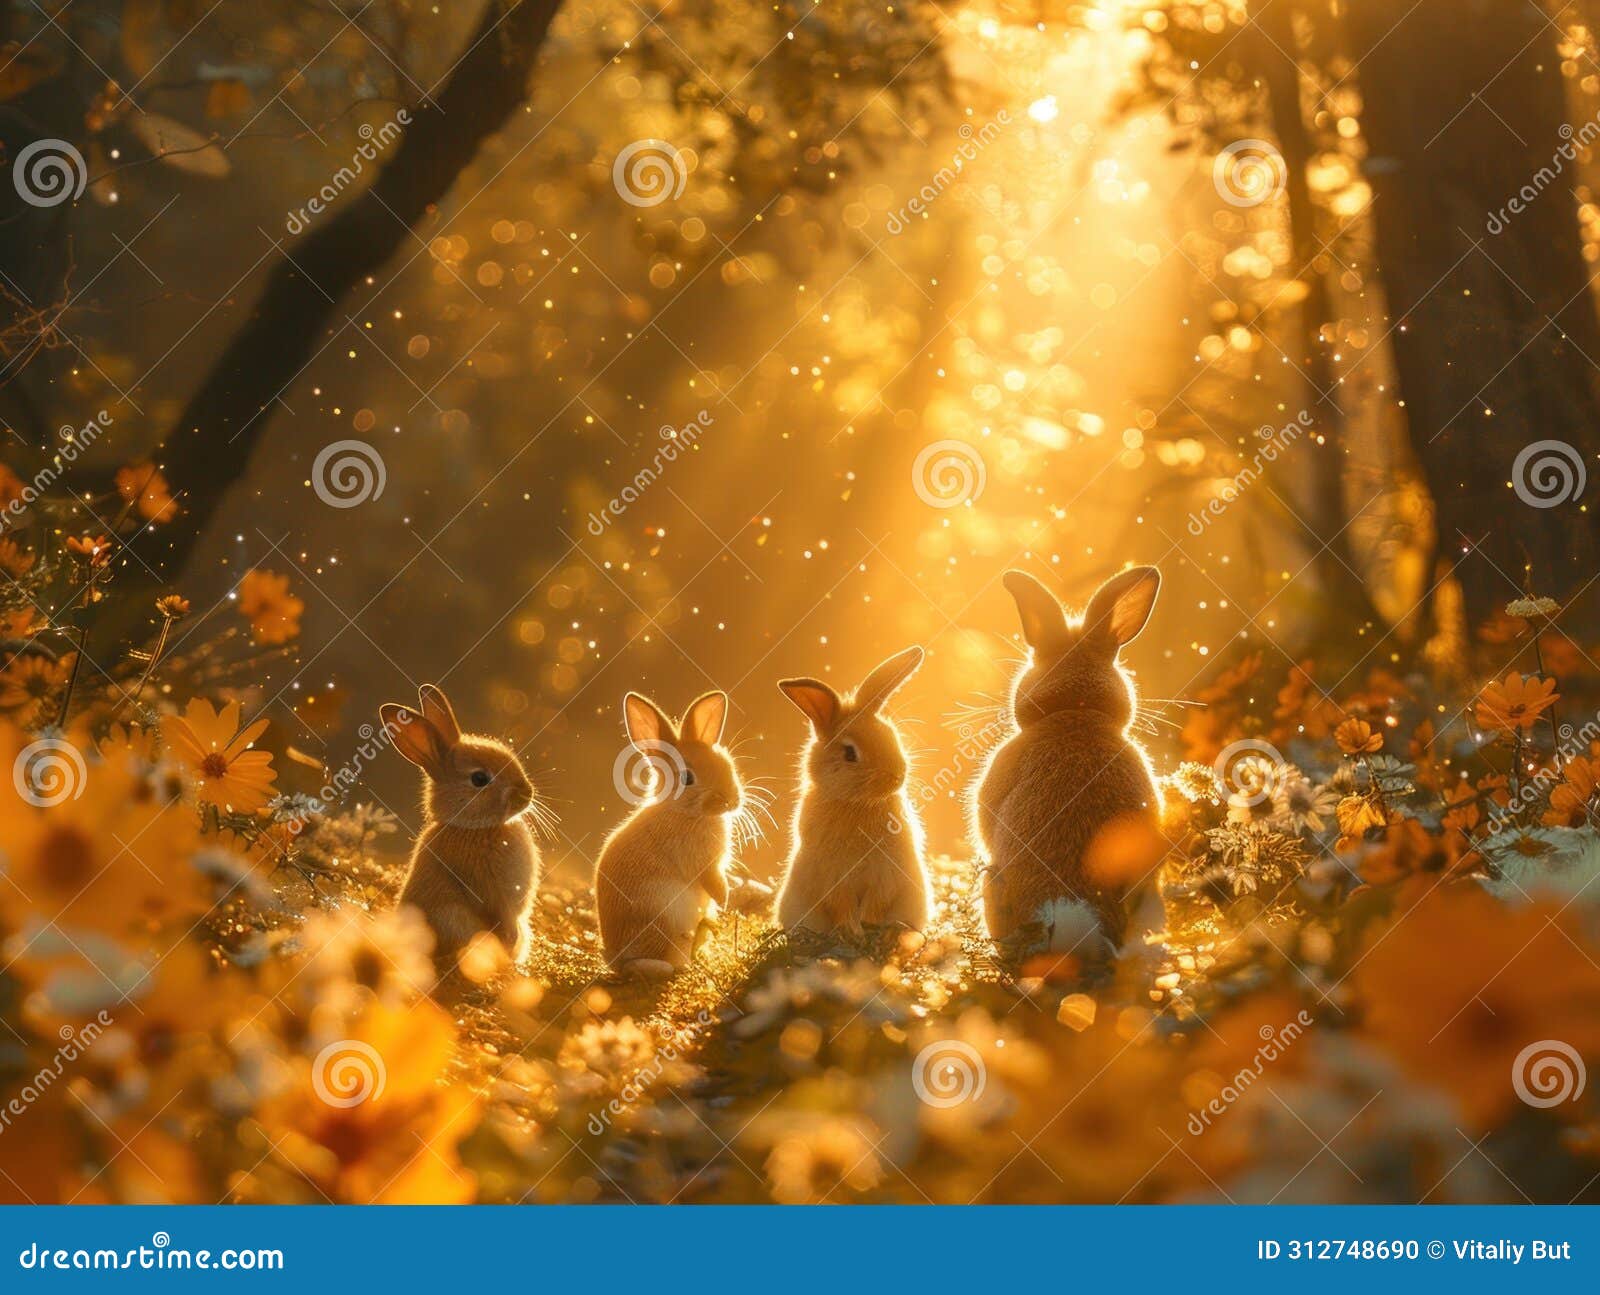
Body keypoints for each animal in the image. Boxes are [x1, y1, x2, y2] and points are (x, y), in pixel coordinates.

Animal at [381, 684, 541, 969]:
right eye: (479, 779)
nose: (527, 793)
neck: (473, 828)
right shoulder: (485, 883)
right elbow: (500, 910)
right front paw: (509, 938)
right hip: (454, 919)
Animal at [595, 690, 742, 978]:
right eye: (687, 779)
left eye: (728, 764)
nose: (730, 801)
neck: (686, 812)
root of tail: (616, 958)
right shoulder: (700, 860)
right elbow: (711, 879)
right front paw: (725, 897)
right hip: (664, 918)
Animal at [775, 646, 932, 936]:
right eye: (850, 753)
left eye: (891, 736)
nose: (897, 775)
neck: (856, 803)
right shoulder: (832, 876)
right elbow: (842, 904)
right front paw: (850, 930)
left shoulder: (885, 873)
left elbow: (875, 902)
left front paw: (867, 925)